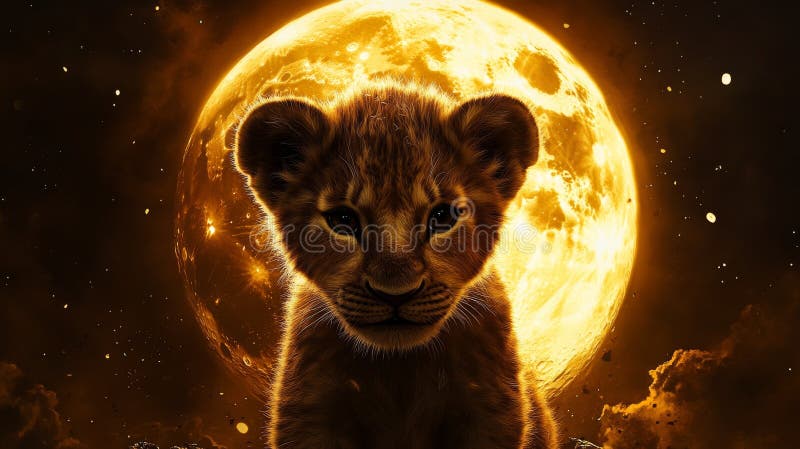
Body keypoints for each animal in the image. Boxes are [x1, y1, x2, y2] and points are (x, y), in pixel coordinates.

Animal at [234, 81, 558, 449]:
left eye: (443, 217)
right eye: (342, 220)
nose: (396, 294)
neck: (401, 371)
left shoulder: (490, 411)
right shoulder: (308, 414)